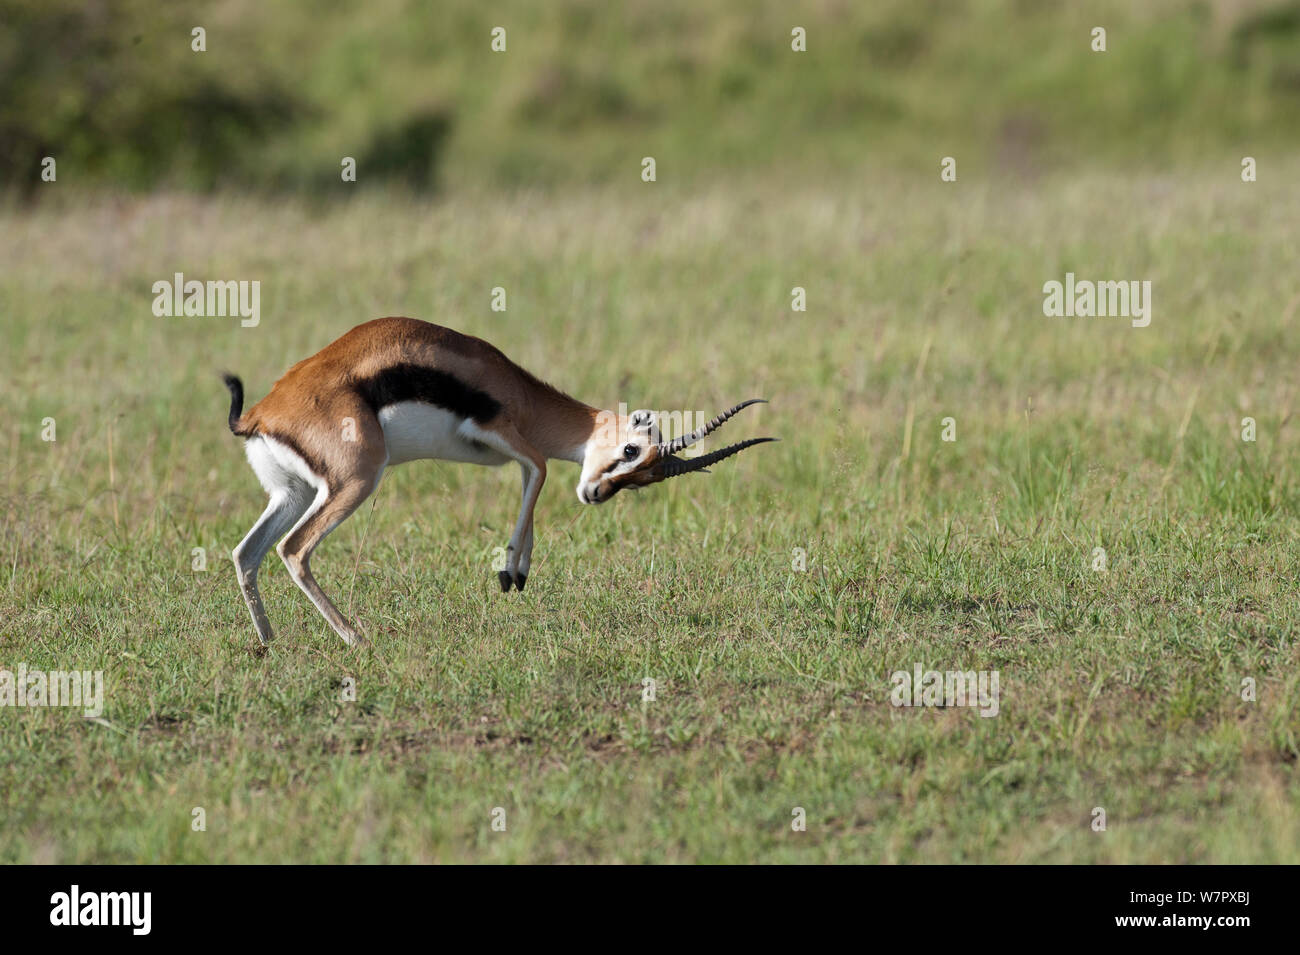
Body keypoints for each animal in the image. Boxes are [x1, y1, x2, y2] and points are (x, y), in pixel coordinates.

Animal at [222, 317, 774, 647]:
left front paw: (518, 571)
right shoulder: (502, 434)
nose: (596, 495)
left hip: (294, 493)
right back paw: (356, 638)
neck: (517, 390)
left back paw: (269, 642)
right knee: (294, 550)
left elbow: (534, 476)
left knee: (247, 552)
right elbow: (542, 468)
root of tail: (261, 413)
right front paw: (511, 571)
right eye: (631, 451)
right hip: (356, 482)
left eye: (642, 481)